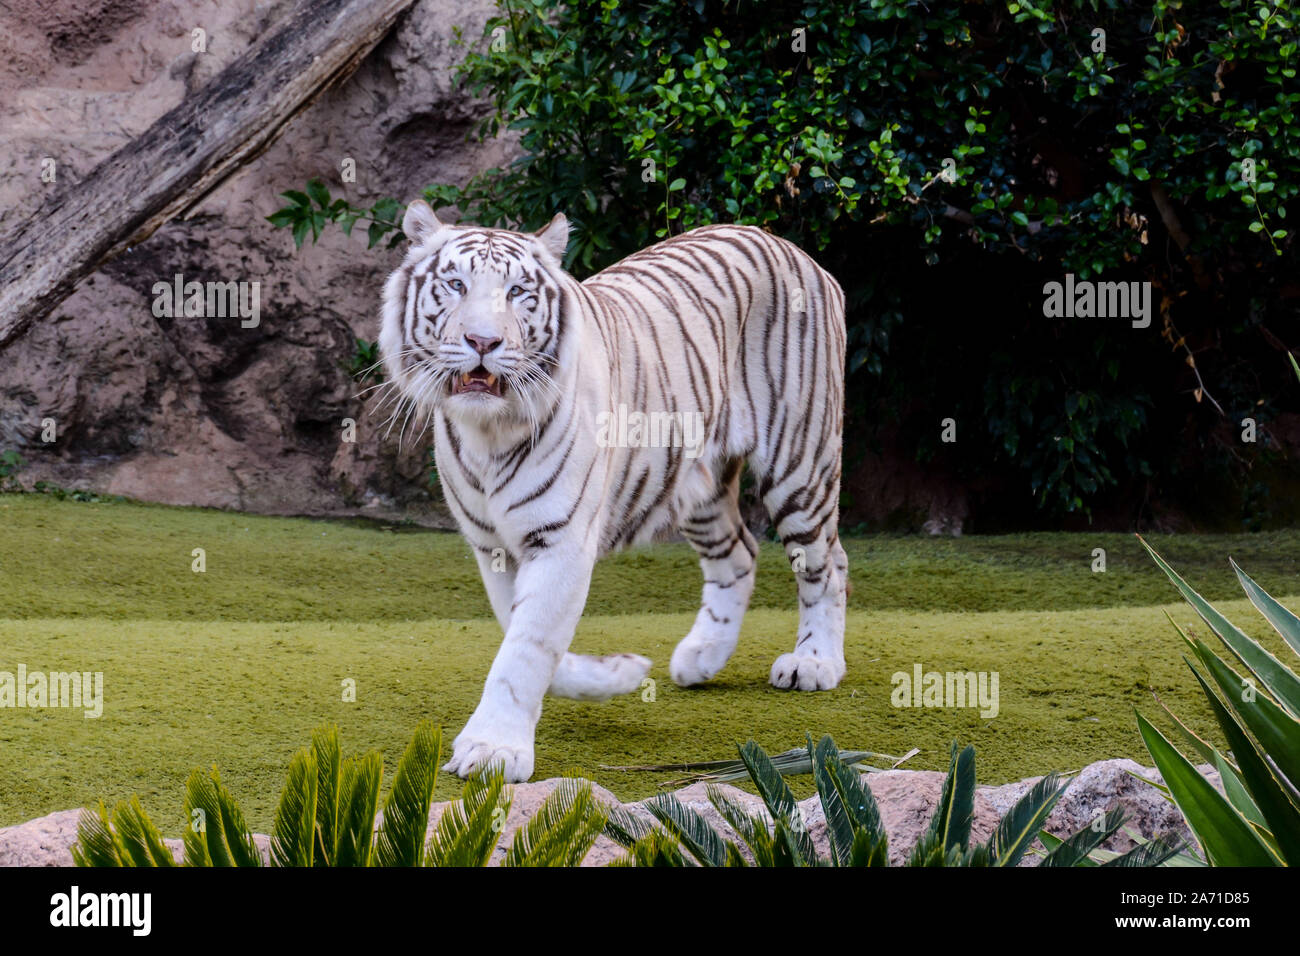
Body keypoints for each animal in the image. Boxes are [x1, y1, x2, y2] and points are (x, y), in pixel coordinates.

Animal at [379, 200, 847, 782]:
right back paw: (702, 658)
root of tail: (792, 248)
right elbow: (525, 634)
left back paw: (814, 663)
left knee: (827, 563)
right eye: (456, 284)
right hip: (697, 480)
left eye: (516, 292)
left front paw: (492, 750)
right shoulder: (494, 547)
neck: (488, 432)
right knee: (739, 553)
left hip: (800, 463)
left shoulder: (560, 540)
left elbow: (525, 648)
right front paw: (616, 674)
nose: (483, 342)